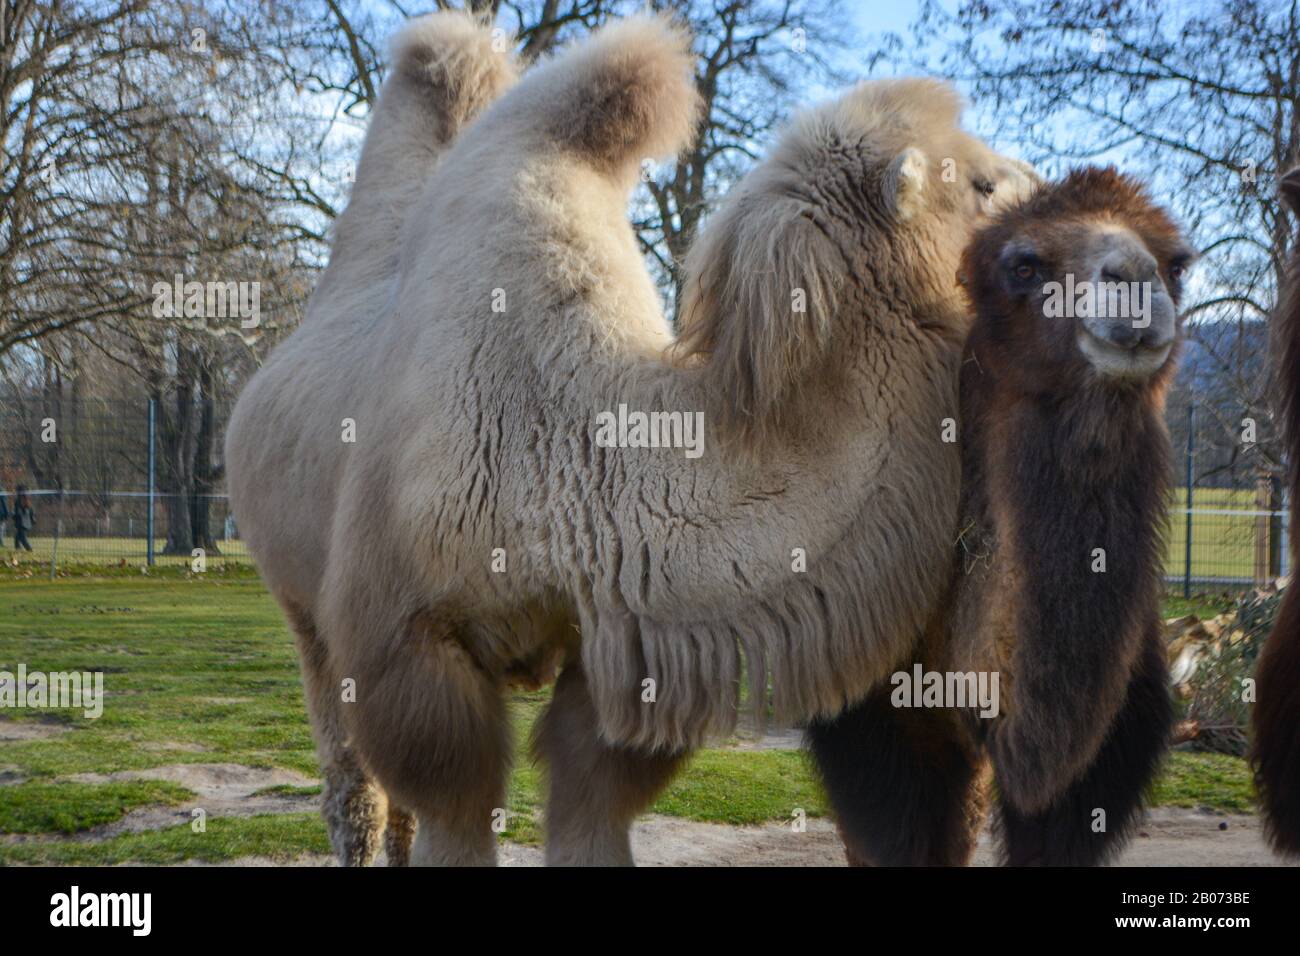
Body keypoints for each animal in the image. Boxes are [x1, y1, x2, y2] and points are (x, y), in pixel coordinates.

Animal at [225, 13, 1038, 865]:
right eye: (981, 184)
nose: (1045, 185)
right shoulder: (408, 635)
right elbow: (454, 800)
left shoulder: (622, 646)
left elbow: (592, 797)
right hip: (302, 607)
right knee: (354, 787)